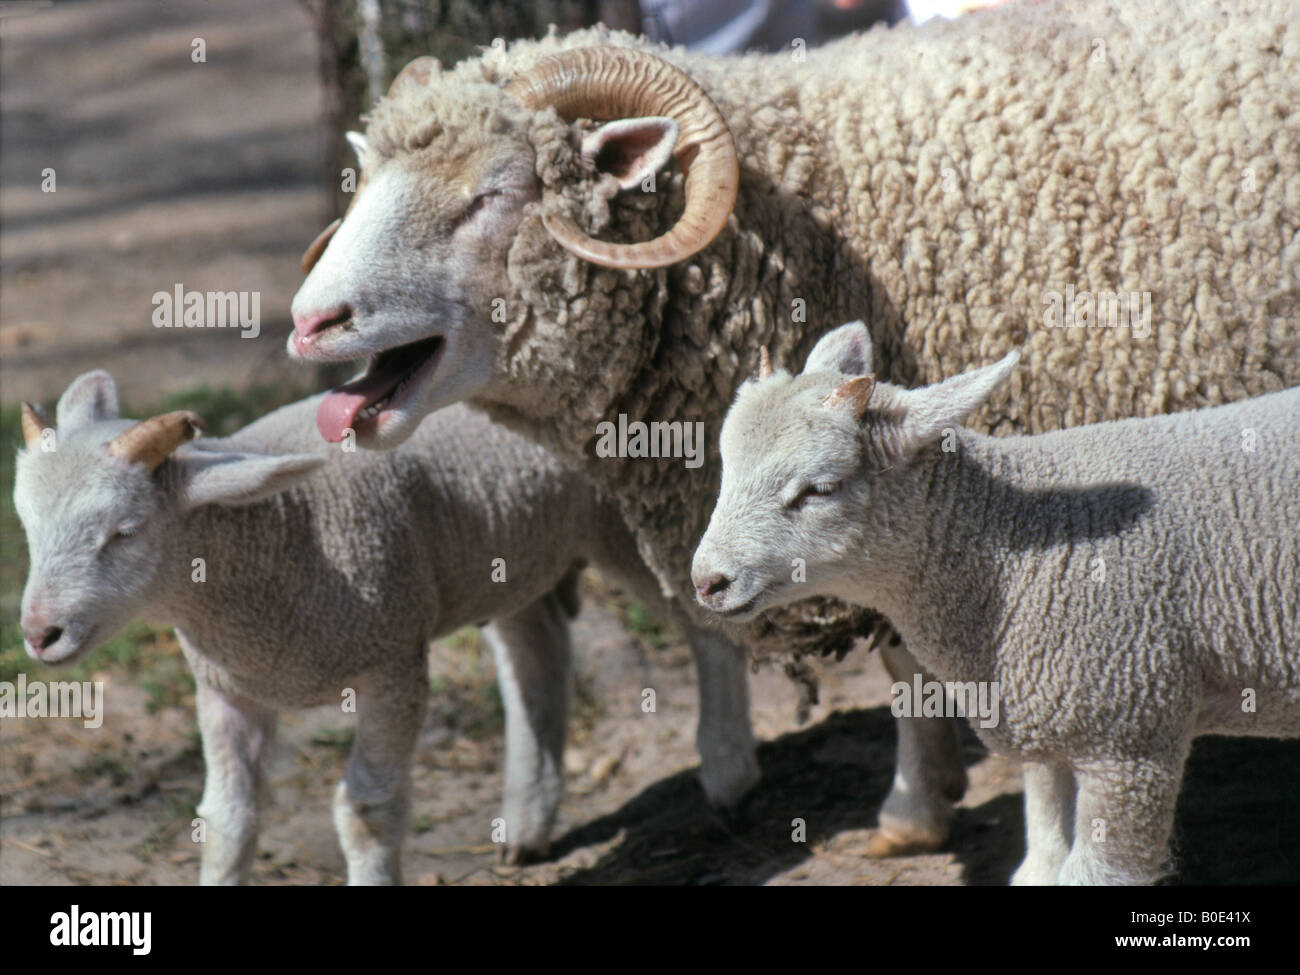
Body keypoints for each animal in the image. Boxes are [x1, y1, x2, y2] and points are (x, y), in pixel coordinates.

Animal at [14, 370, 757, 884]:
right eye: (25, 523)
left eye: (126, 530)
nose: (39, 633)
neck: (283, 528)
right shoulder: (228, 689)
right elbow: (225, 822)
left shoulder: (391, 662)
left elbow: (365, 811)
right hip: (508, 549)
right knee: (537, 653)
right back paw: (526, 823)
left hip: (624, 524)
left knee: (706, 628)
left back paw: (728, 778)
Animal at [692, 320, 1300, 884]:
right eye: (725, 465)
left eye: (820, 489)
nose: (706, 581)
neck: (1013, 552)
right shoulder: (1053, 721)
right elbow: (1043, 848)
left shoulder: (1131, 739)